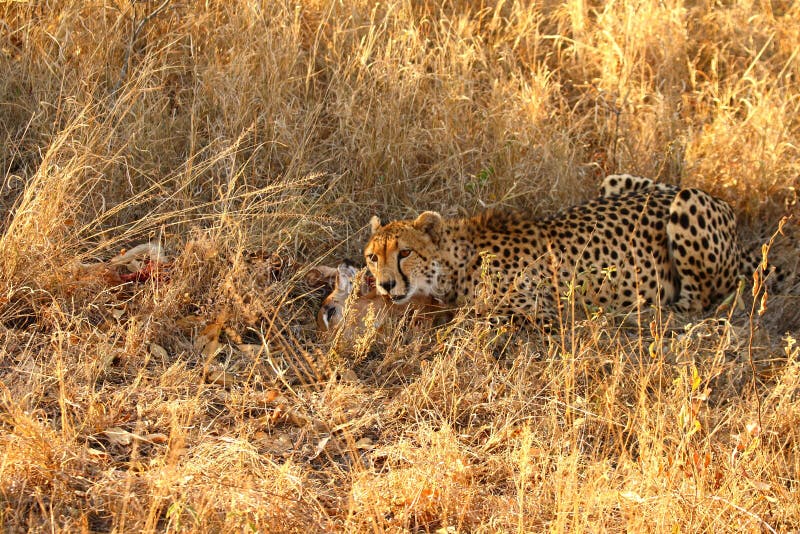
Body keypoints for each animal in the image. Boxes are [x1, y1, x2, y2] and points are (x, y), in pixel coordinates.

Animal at [364, 174, 755, 325]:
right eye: (373, 258)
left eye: (404, 253)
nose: (385, 284)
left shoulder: (542, 312)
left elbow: (469, 320)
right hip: (616, 181)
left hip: (687, 201)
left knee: (695, 304)